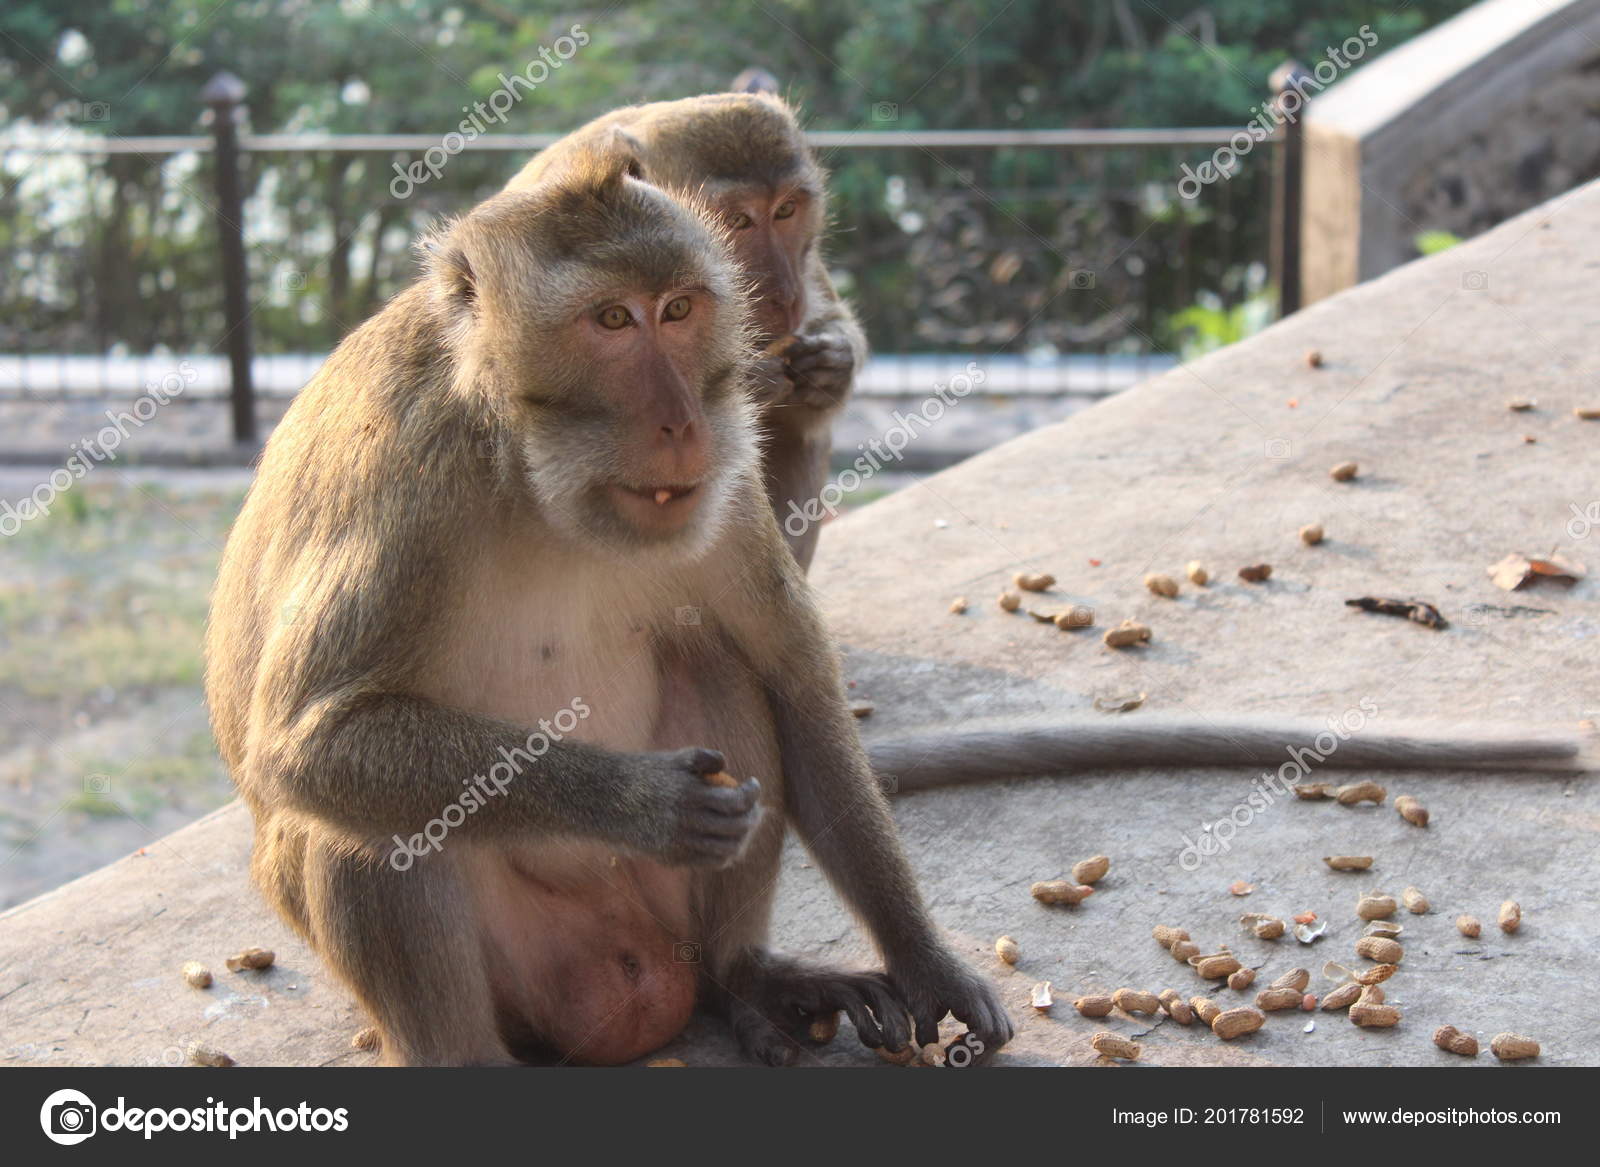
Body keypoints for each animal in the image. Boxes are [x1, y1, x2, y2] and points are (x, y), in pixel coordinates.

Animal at [204, 149, 1010, 1068]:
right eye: (613, 320)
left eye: (679, 310)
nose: (682, 423)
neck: (531, 476)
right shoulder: (405, 480)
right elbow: (310, 737)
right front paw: (642, 802)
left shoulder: (724, 481)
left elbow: (794, 683)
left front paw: (926, 961)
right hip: (528, 967)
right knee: (361, 826)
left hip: (654, 912)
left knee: (716, 661)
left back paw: (747, 979)